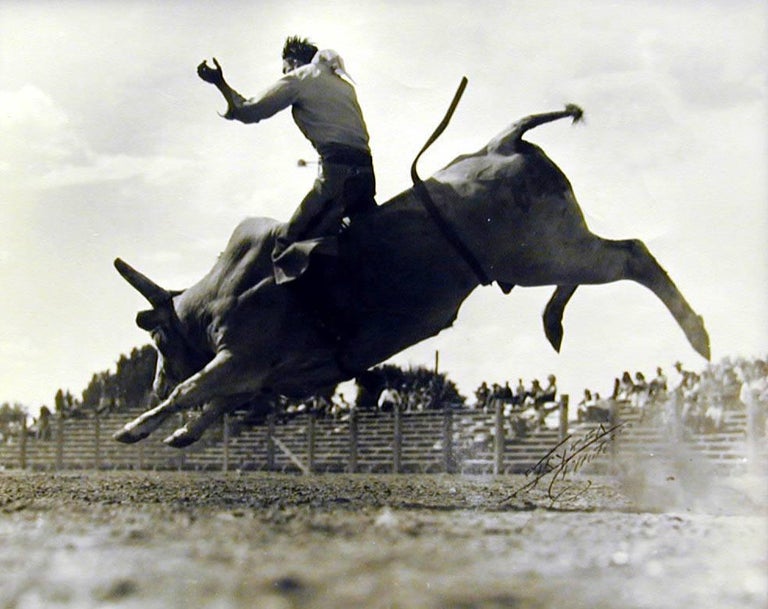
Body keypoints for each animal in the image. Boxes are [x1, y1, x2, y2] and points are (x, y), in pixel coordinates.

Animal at [113, 103, 710, 448]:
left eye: (159, 340)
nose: (150, 385)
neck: (222, 293)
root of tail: (503, 143)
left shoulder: (242, 355)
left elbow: (194, 389)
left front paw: (136, 426)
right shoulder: (266, 374)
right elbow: (215, 401)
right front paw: (181, 433)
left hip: (541, 253)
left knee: (631, 256)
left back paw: (698, 334)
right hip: (552, 251)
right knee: (606, 258)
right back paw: (555, 320)